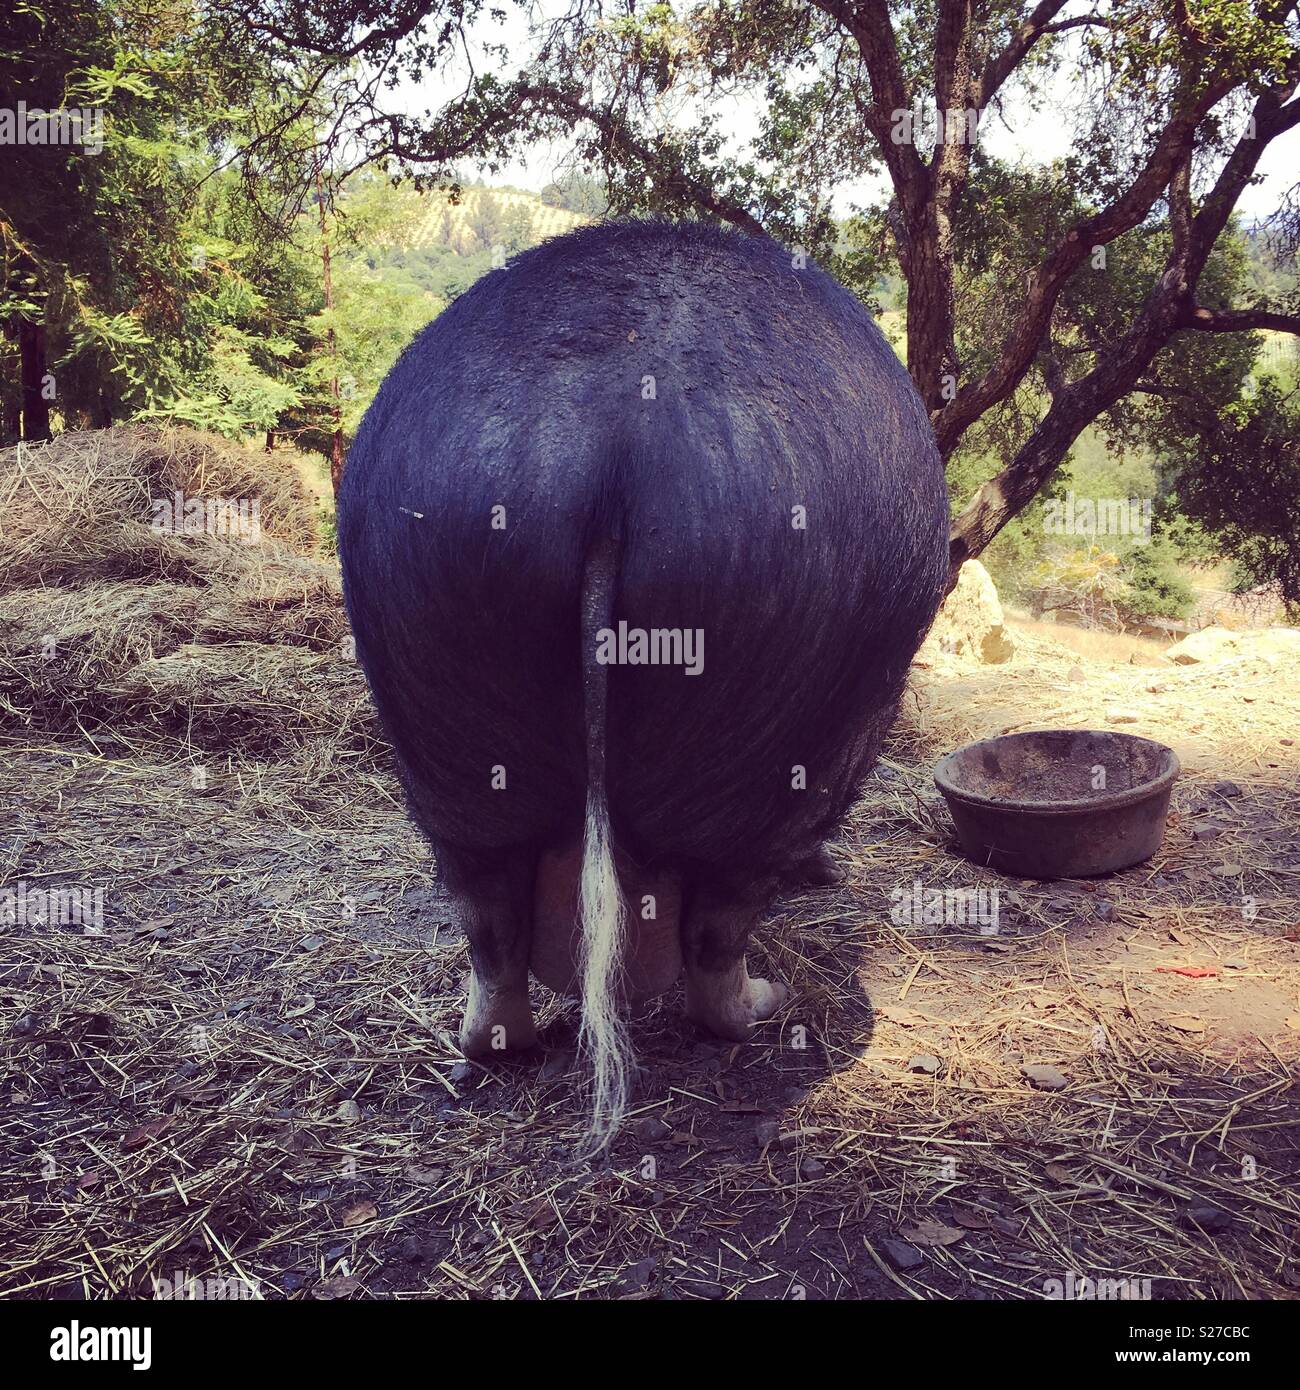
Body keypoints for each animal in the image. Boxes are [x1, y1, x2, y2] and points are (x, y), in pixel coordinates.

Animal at [338, 219, 949, 1144]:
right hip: (780, 709)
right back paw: (769, 1001)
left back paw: (495, 1038)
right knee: (718, 936)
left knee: (487, 915)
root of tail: (617, 433)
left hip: (440, 687)